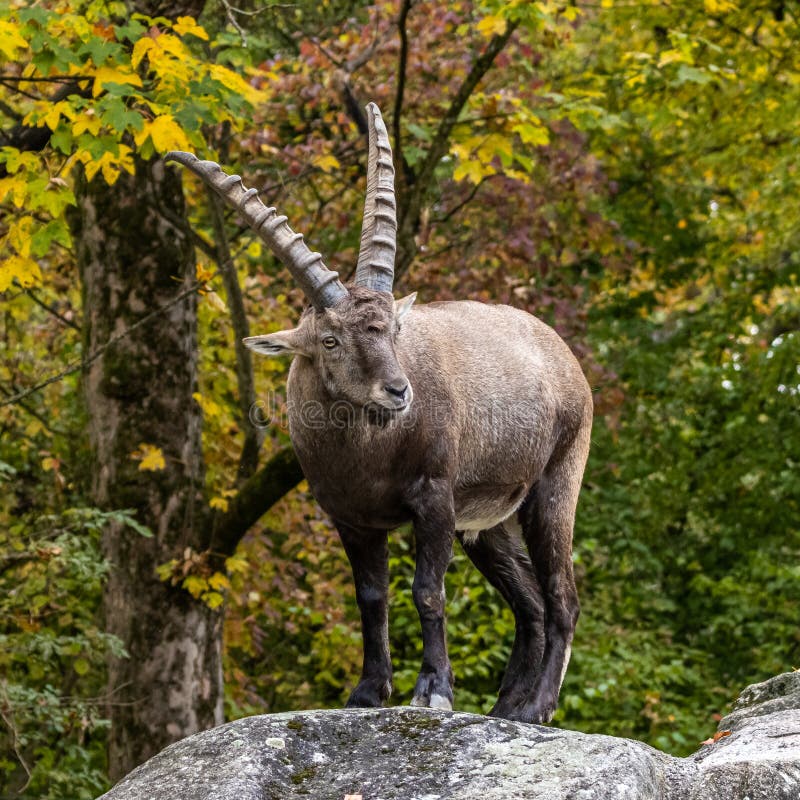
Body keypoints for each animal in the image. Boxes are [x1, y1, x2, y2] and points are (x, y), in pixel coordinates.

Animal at [166, 103, 592, 723]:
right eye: (330, 341)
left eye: (392, 330)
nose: (398, 391)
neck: (366, 455)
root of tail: (564, 358)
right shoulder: (352, 517)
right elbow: (371, 598)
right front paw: (367, 693)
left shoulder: (433, 498)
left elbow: (427, 590)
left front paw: (433, 690)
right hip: (486, 525)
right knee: (529, 603)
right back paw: (506, 709)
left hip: (554, 486)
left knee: (562, 598)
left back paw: (536, 709)